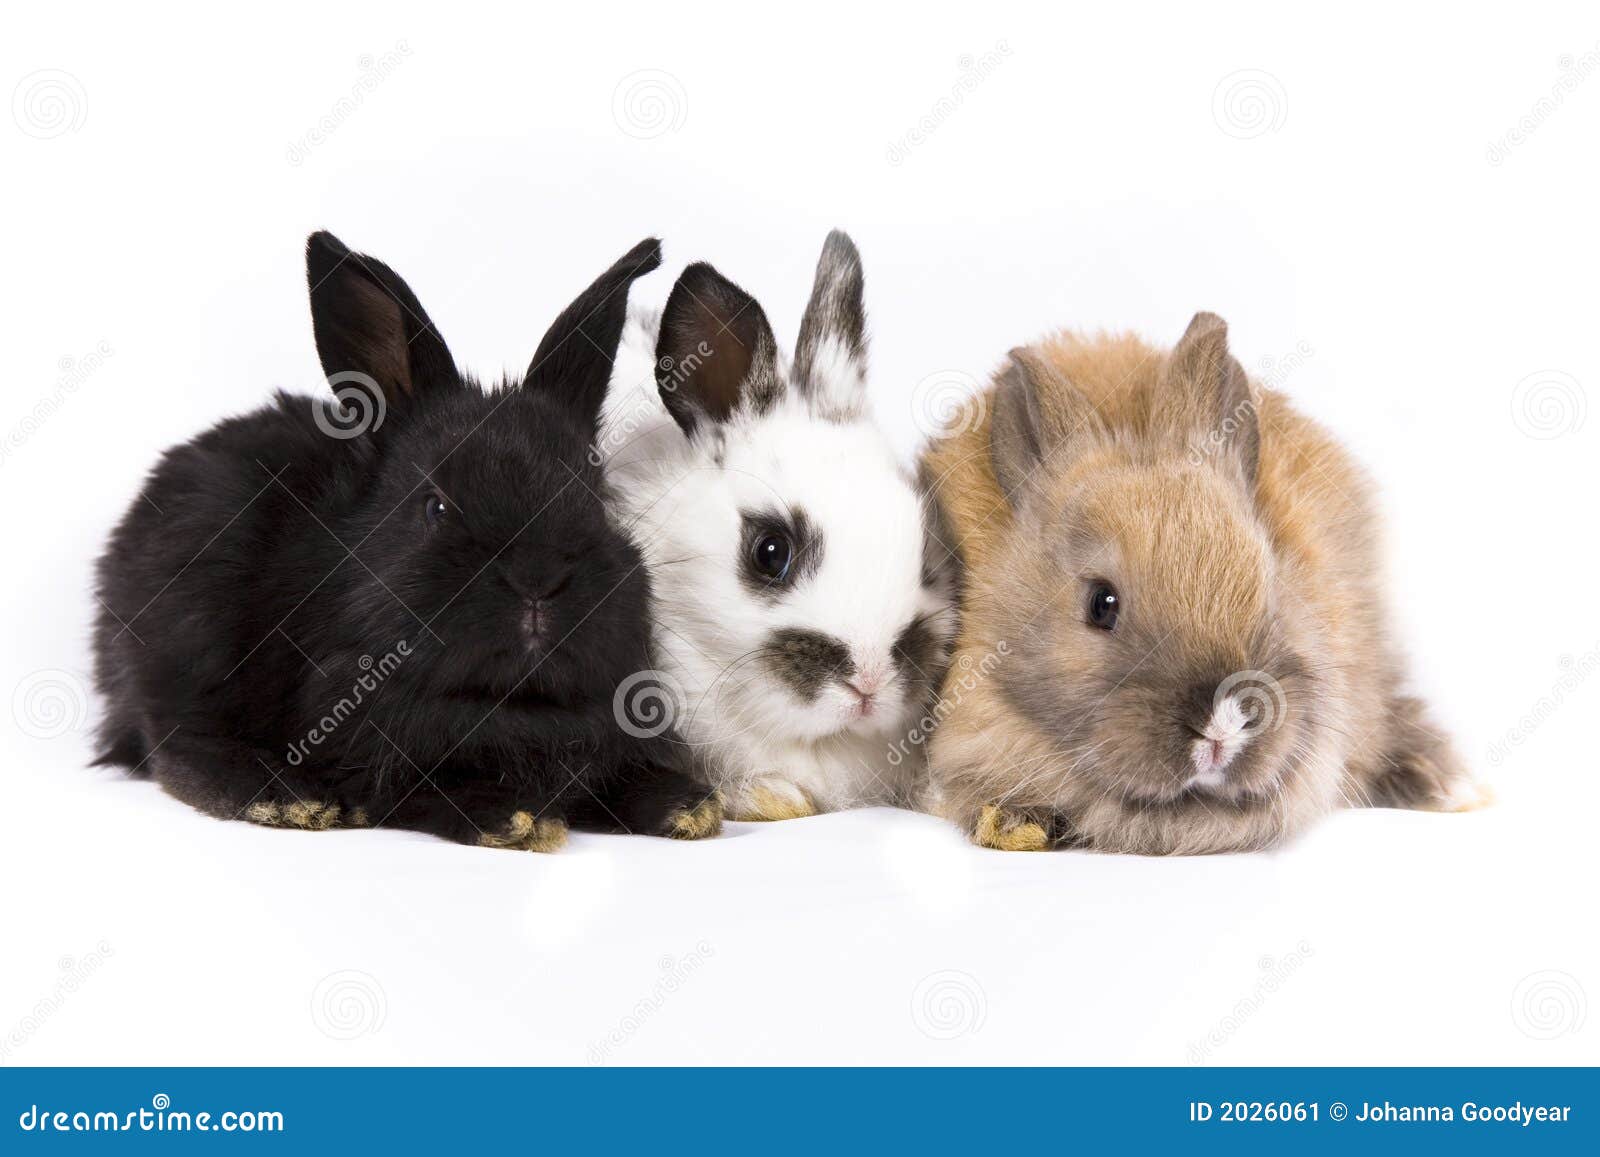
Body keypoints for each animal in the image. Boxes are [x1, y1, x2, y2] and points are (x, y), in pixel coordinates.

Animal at [90, 230, 722, 851]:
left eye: (594, 498)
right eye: (434, 506)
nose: (538, 577)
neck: (507, 701)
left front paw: (691, 806)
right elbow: (412, 787)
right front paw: (515, 816)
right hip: (189, 632)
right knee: (177, 744)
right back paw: (289, 799)